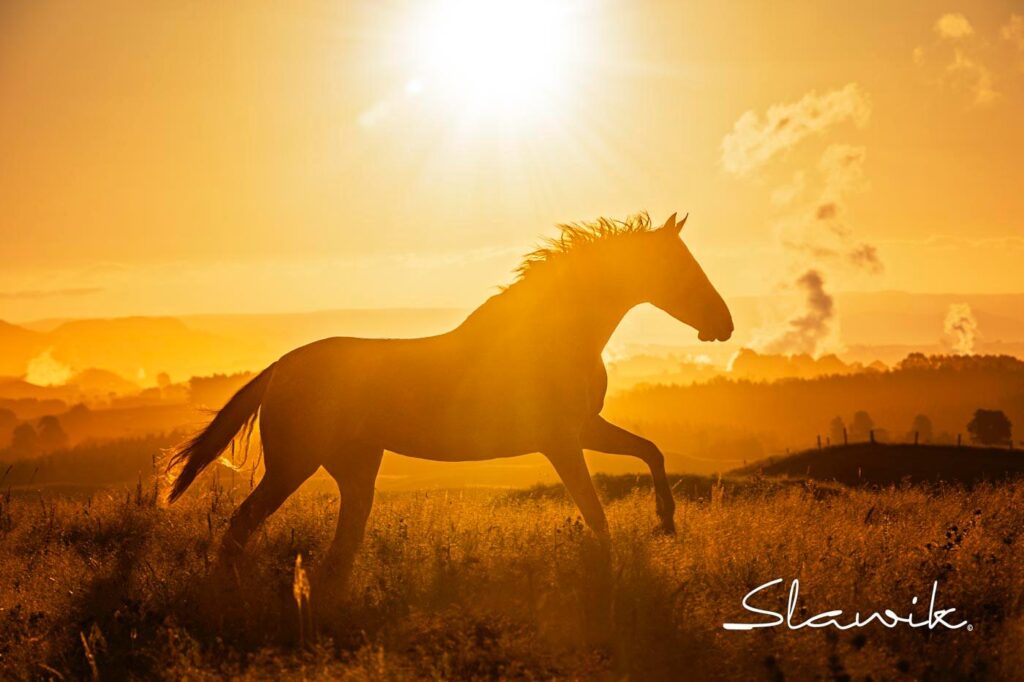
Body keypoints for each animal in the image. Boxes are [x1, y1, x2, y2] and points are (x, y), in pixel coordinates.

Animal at [168, 211, 733, 591]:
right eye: (681, 267)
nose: (724, 325)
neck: (552, 337)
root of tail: (279, 369)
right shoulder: (560, 441)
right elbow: (596, 513)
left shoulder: (584, 428)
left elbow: (651, 451)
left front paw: (666, 522)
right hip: (294, 464)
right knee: (242, 526)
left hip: (354, 468)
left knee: (339, 545)